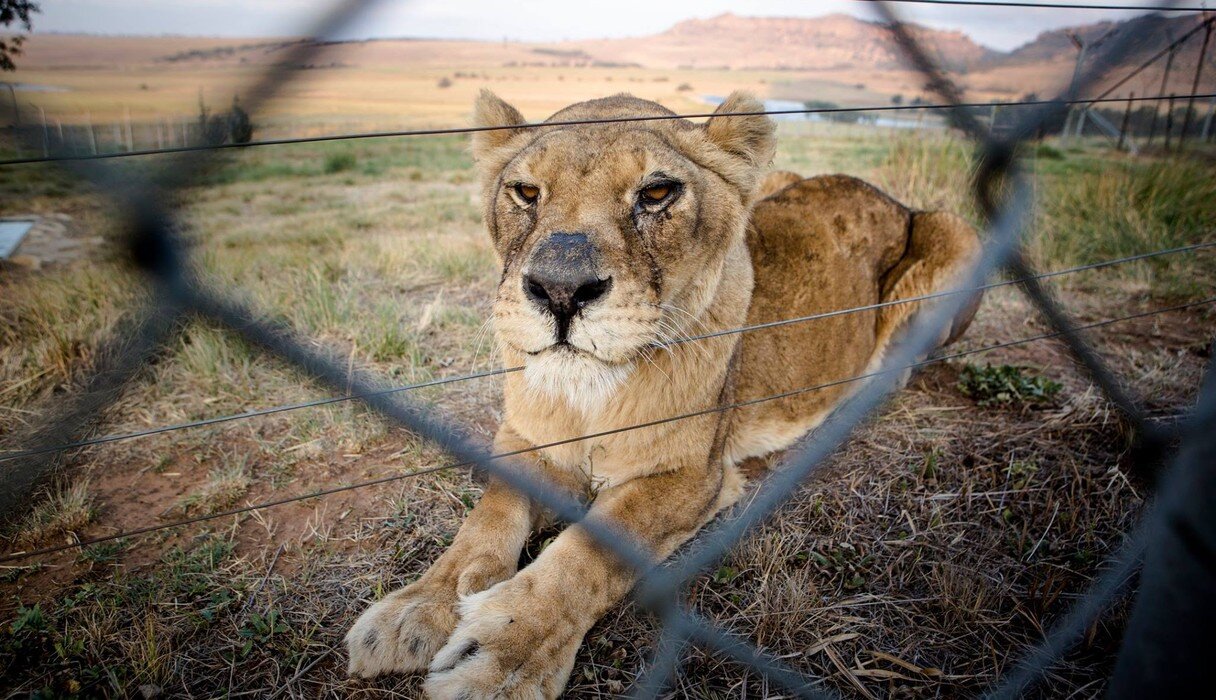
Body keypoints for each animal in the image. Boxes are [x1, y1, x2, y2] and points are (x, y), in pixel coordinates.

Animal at [345, 91, 982, 698]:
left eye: (656, 193)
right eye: (526, 191)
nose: (560, 290)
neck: (590, 399)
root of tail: (882, 192)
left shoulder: (691, 474)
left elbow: (586, 553)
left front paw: (503, 656)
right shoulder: (524, 441)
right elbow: (487, 517)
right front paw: (415, 610)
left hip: (958, 231)